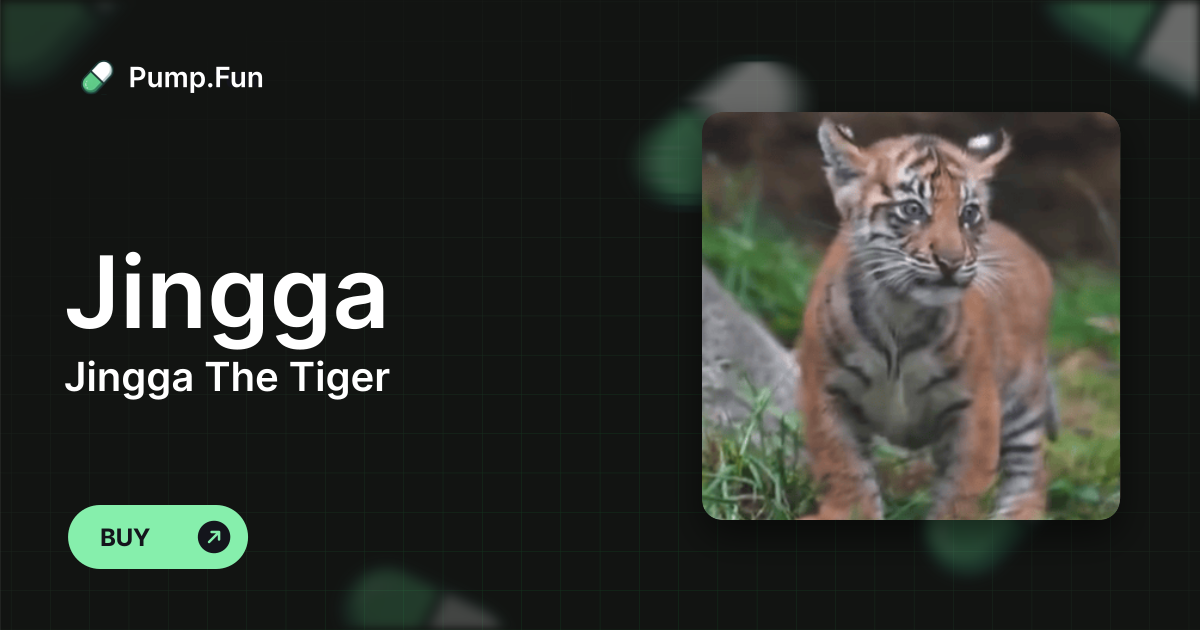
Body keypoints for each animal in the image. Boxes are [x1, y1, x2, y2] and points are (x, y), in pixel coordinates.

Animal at [795, 118, 1059, 520]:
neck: (900, 313)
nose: (952, 261)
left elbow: (962, 489)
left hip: (1023, 397)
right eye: (913, 209)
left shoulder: (976, 406)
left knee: (1031, 470)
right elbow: (844, 469)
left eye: (969, 213)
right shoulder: (825, 390)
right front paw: (849, 510)